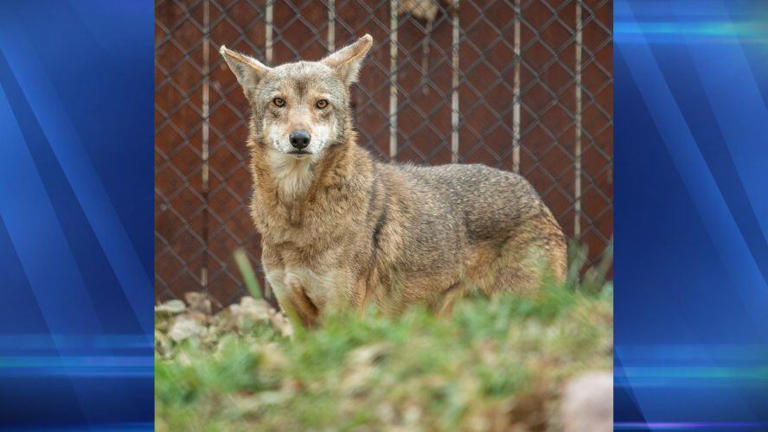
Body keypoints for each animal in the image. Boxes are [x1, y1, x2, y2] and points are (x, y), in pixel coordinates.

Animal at [220, 35, 567, 327]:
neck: (296, 213)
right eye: (279, 103)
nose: (300, 139)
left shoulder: (343, 315)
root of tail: (535, 196)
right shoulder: (298, 317)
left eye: (322, 104)